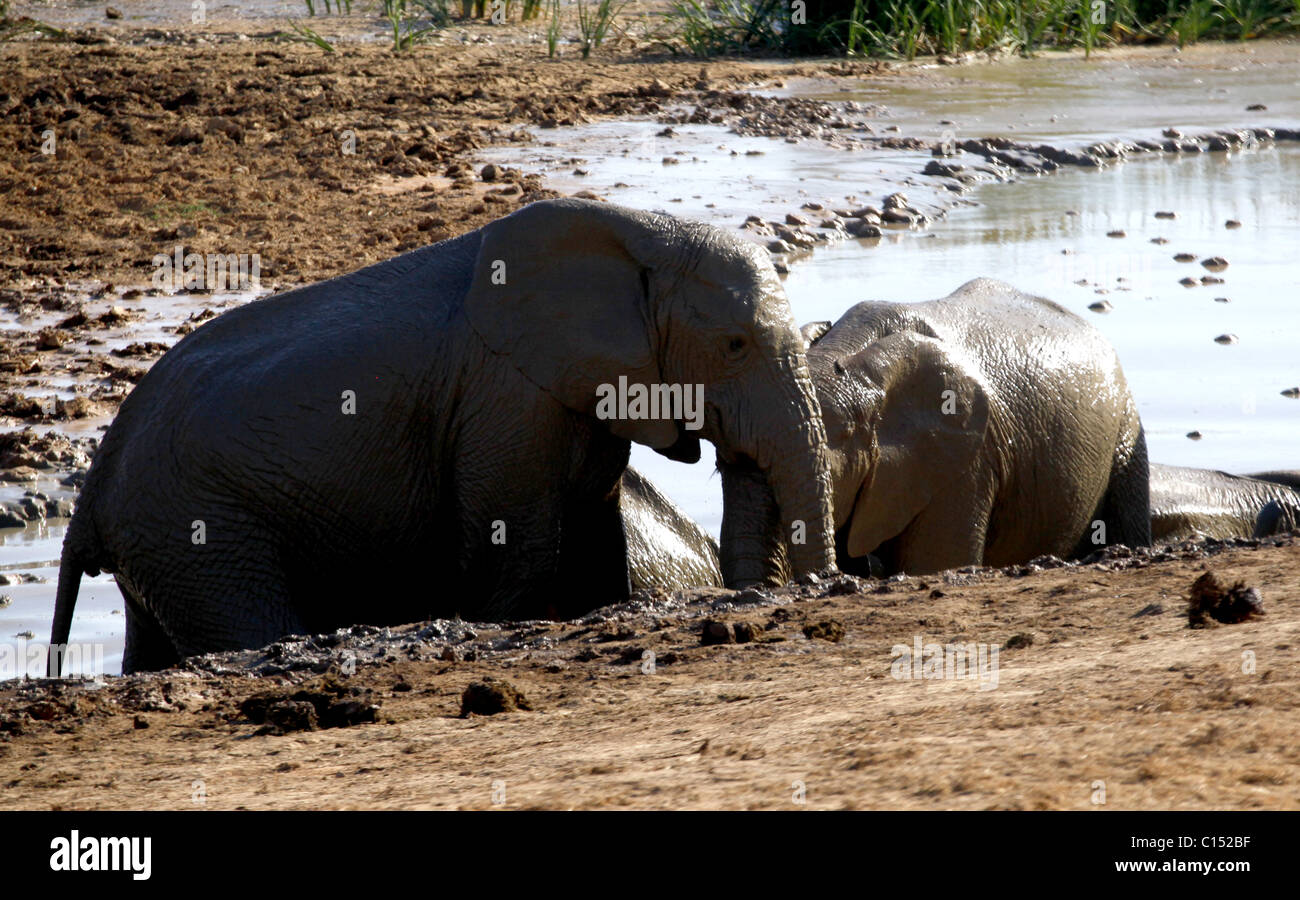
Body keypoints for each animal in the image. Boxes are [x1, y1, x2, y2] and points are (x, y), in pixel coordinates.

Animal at [48, 199, 835, 675]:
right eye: (734, 346)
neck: (636, 228)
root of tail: (90, 500)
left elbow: (594, 535)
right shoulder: (504, 398)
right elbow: (515, 546)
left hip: (163, 541)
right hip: (196, 528)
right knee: (250, 622)